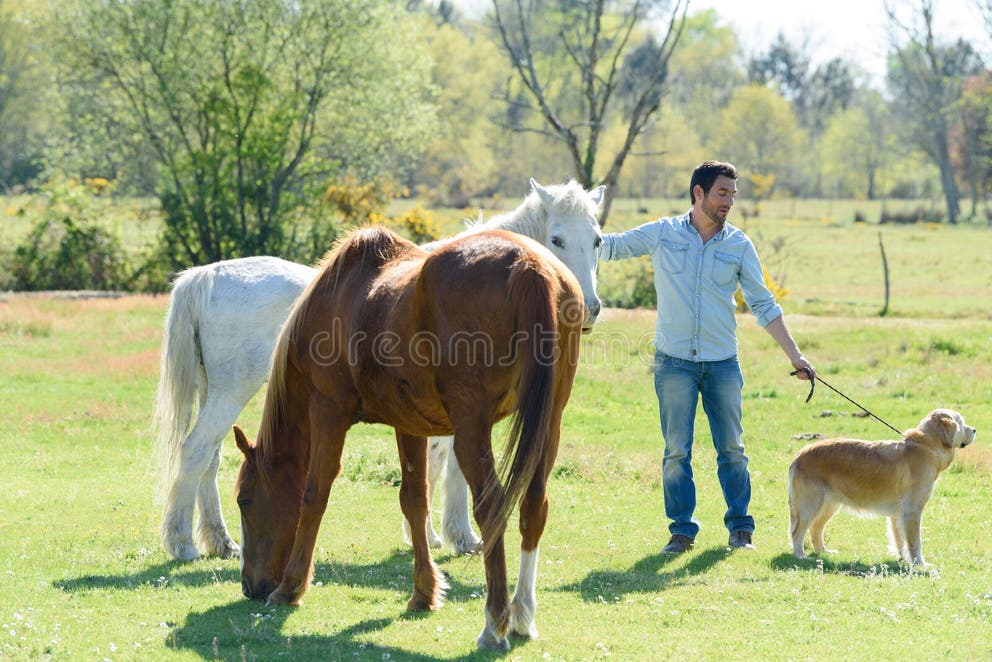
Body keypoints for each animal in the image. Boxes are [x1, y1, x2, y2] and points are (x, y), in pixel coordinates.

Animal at [153, 178, 605, 561]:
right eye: (557, 238)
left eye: (598, 240)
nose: (585, 308)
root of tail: (207, 275)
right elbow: (451, 466)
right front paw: (458, 536)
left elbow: (439, 464)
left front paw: (440, 535)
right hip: (231, 393)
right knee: (195, 451)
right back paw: (183, 544)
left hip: (216, 393)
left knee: (209, 458)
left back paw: (220, 541)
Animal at [234, 226, 583, 649]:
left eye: (245, 500)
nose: (248, 586)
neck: (342, 296)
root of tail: (530, 265)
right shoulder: (410, 426)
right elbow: (415, 502)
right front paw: (424, 592)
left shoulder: (328, 411)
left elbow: (314, 496)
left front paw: (290, 588)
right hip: (548, 424)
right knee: (534, 505)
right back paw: (521, 615)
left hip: (471, 431)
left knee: (492, 508)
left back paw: (494, 624)